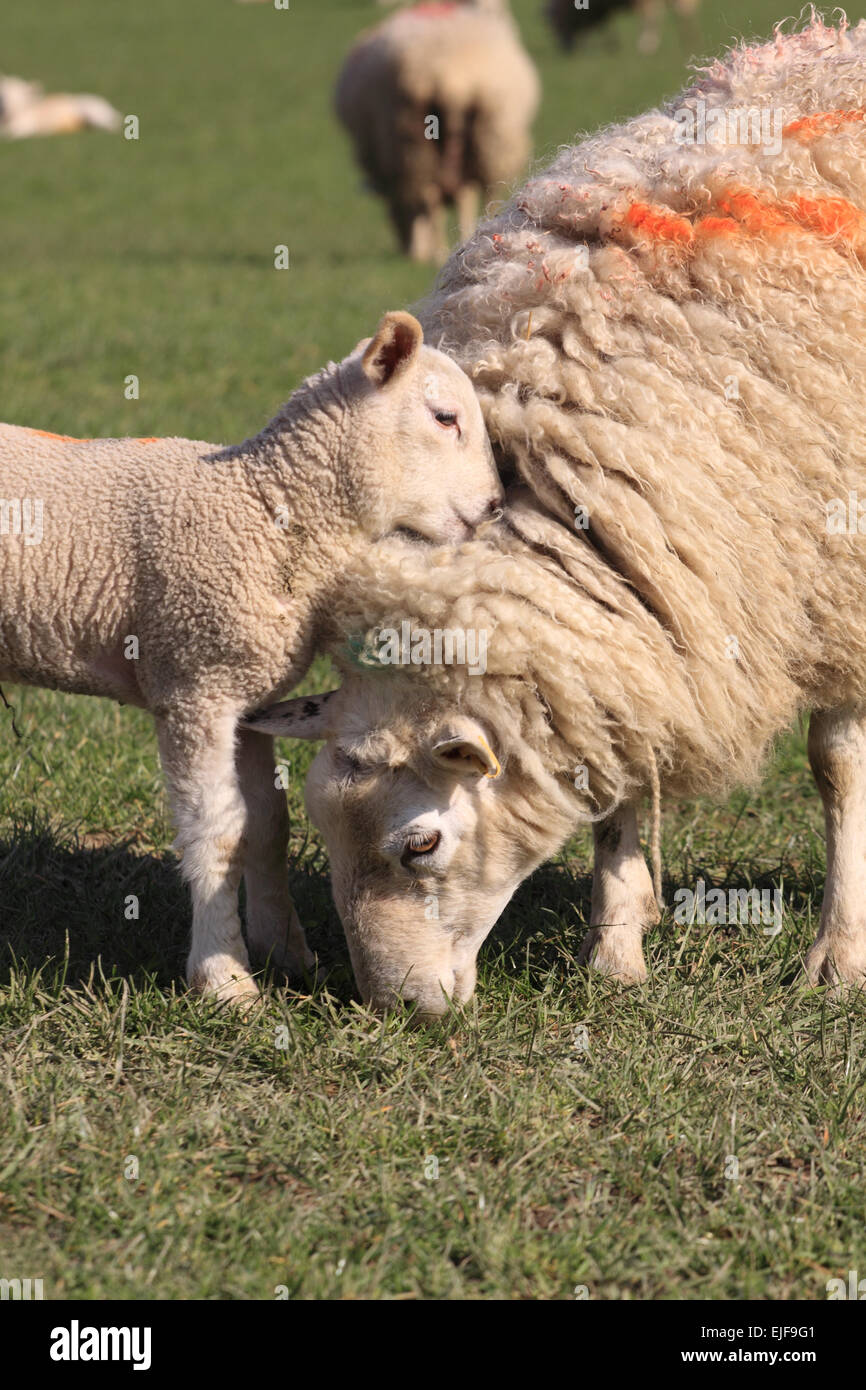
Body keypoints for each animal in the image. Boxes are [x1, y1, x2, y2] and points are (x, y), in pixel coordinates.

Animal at [0, 312, 501, 1004]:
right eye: (445, 417)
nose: (495, 507)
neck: (267, 504)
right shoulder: (196, 686)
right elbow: (219, 832)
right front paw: (224, 979)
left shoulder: (249, 696)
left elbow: (267, 826)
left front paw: (285, 950)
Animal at [334, 1, 540, 263]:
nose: (405, 249)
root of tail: (450, 78)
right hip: (487, 135)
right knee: (479, 193)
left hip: (415, 140)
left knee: (436, 195)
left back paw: (443, 249)